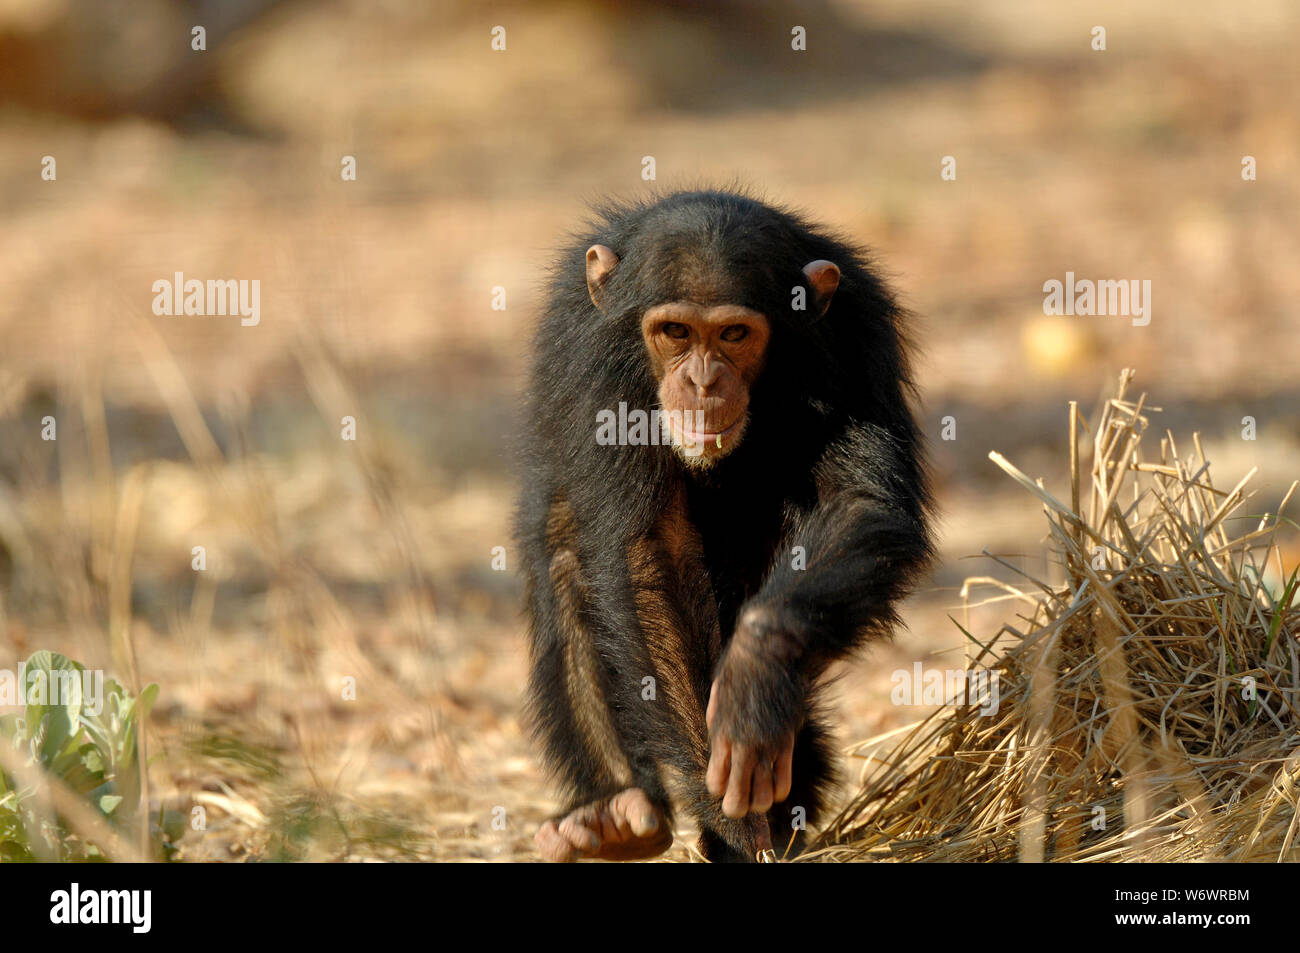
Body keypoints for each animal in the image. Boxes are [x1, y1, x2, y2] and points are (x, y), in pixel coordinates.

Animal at [516, 188, 933, 862]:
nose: (703, 380)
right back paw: (612, 815)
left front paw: (756, 680)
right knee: (565, 550)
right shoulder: (593, 364)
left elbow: (857, 502)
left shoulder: (855, 342)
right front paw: (737, 826)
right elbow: (648, 552)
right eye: (675, 333)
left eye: (734, 334)